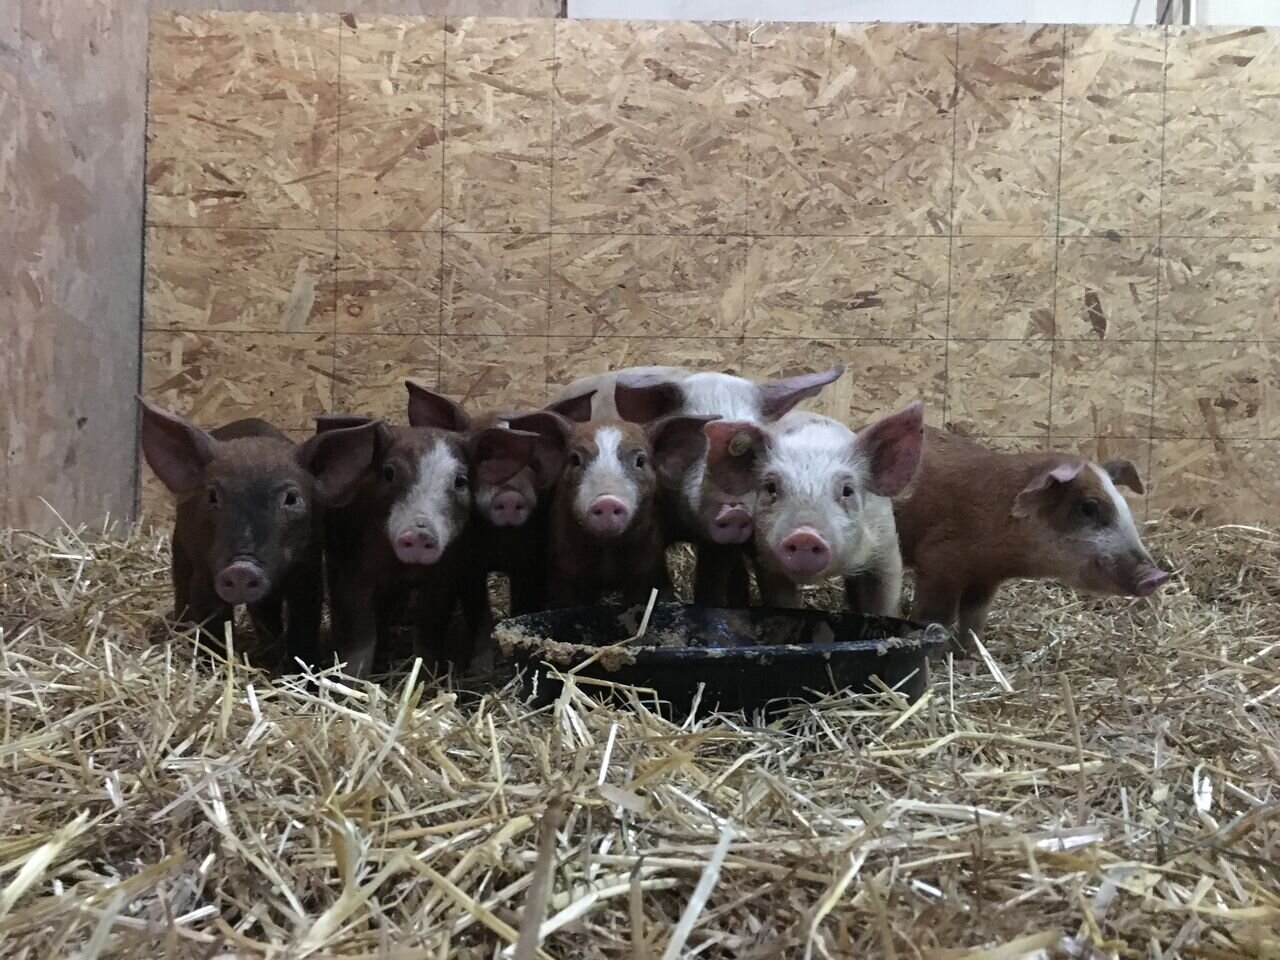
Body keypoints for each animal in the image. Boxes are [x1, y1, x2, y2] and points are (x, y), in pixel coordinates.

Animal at [138, 399, 377, 668]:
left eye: (291, 498)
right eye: (213, 496)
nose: (242, 568)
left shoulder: (308, 569)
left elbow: (303, 623)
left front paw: (297, 669)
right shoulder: (205, 569)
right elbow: (211, 620)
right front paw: (211, 664)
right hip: (180, 546)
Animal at [320, 406, 538, 679]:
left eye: (460, 480)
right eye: (389, 473)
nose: (420, 533)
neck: (401, 568)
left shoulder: (444, 576)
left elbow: (428, 633)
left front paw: (426, 677)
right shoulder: (349, 571)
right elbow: (359, 641)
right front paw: (351, 681)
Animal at [543, 414, 715, 608]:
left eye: (640, 461)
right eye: (575, 460)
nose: (607, 501)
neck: (608, 552)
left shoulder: (650, 568)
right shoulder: (564, 569)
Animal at [703, 402, 925, 614]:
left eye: (847, 490)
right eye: (771, 487)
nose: (805, 535)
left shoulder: (885, 546)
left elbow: (883, 600)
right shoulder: (766, 560)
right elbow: (780, 598)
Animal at [873, 428, 1172, 652]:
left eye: (1124, 505)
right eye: (1088, 507)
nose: (1156, 576)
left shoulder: (986, 577)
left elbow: (975, 618)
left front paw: (970, 657)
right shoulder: (938, 561)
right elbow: (936, 616)